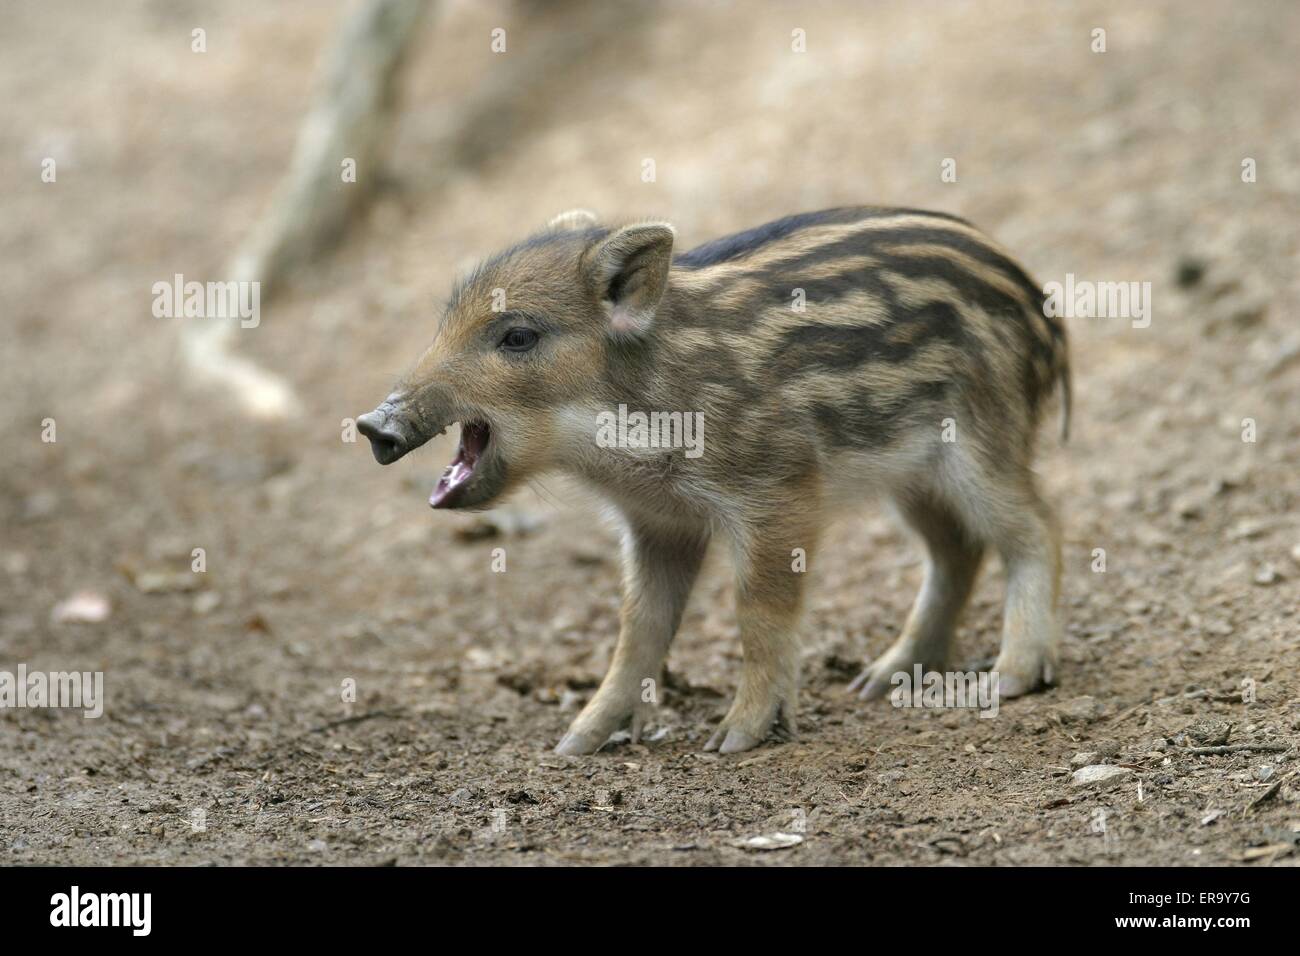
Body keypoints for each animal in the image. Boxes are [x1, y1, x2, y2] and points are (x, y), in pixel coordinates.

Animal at [357, 206, 1071, 755]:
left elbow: (755, 610)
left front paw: (735, 738)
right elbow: (638, 628)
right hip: (913, 472)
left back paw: (1007, 678)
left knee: (1037, 528)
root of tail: (1043, 310)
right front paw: (575, 743)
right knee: (957, 549)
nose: (372, 425)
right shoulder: (657, 523)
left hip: (981, 438)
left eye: (518, 336)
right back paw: (881, 679)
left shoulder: (780, 492)